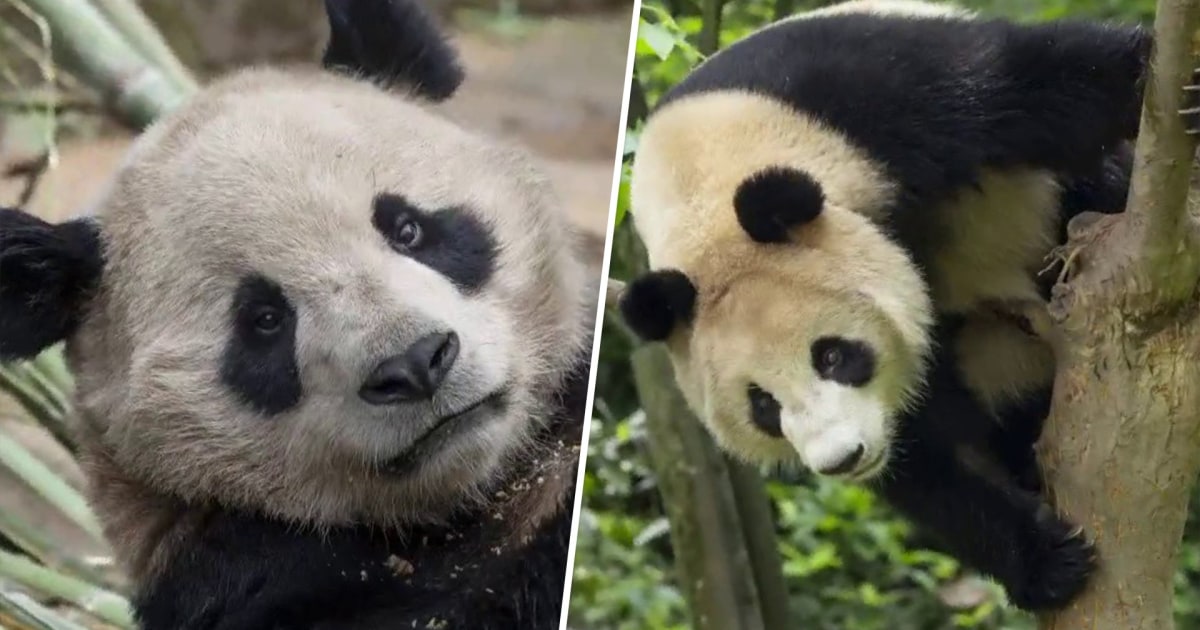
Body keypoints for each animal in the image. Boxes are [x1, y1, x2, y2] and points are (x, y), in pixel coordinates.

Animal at [616, 0, 1184, 612]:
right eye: (761, 405)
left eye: (832, 356)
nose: (841, 458)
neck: (705, 193)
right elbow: (925, 465)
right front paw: (1046, 564)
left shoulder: (865, 97)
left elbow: (1036, 85)